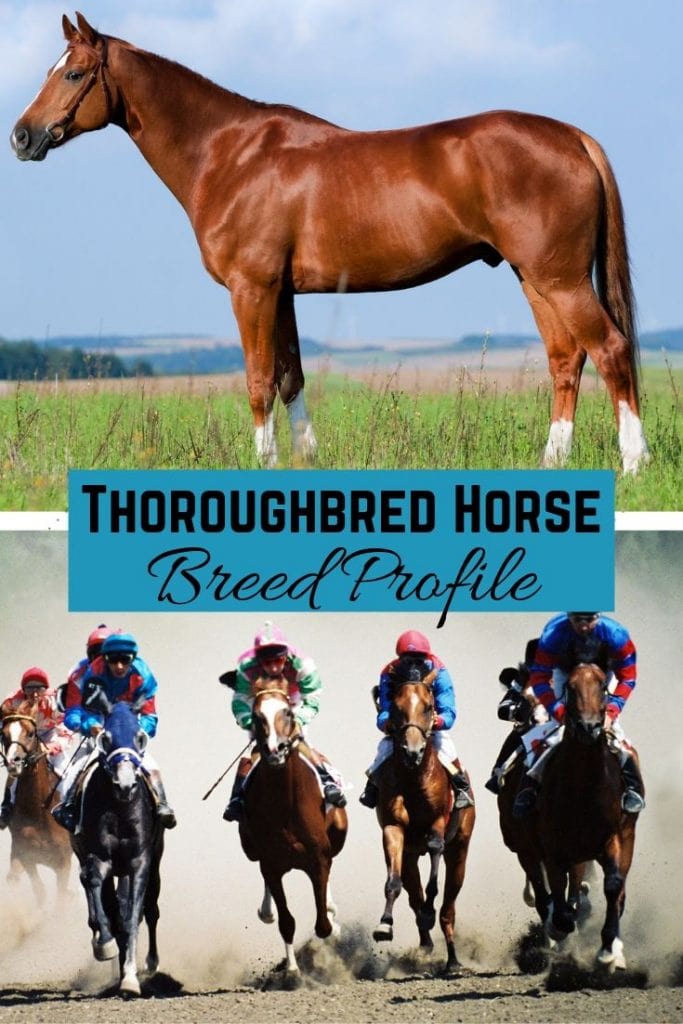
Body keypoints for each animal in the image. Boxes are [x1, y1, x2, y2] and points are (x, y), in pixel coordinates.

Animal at [0, 708, 72, 903]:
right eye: (4, 735)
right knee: (12, 877)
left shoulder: (64, 863)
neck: (38, 811)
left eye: (31, 733)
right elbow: (40, 891)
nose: (14, 762)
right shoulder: (26, 856)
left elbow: (61, 900)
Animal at [11, 12, 648, 474]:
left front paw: (264, 465)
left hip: (559, 278)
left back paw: (634, 463)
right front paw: (305, 460)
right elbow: (290, 377)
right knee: (566, 358)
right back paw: (553, 462)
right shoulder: (283, 293)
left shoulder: (252, 289)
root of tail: (572, 136)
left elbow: (258, 382)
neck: (229, 154)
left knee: (611, 350)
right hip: (535, 278)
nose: (21, 136)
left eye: (73, 74)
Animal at [70, 697, 164, 996]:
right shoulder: (98, 858)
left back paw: (151, 962)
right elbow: (96, 888)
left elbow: (133, 915)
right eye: (106, 738)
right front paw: (106, 946)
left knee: (151, 909)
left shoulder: (140, 861)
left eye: (139, 737)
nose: (125, 785)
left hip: (156, 862)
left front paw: (131, 979)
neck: (120, 808)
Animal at [237, 681, 348, 982]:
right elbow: (287, 921)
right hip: (250, 849)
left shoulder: (318, 858)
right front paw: (292, 970)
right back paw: (267, 911)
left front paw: (333, 925)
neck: (285, 805)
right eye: (256, 716)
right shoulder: (272, 864)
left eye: (287, 712)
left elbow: (323, 923)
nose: (275, 750)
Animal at [372, 680, 475, 973]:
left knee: (448, 908)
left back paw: (453, 961)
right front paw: (385, 925)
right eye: (396, 707)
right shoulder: (393, 829)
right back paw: (426, 943)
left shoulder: (438, 822)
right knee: (413, 896)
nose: (412, 751)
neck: (413, 779)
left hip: (460, 850)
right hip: (409, 857)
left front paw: (430, 910)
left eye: (429, 707)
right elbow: (394, 883)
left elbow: (435, 850)